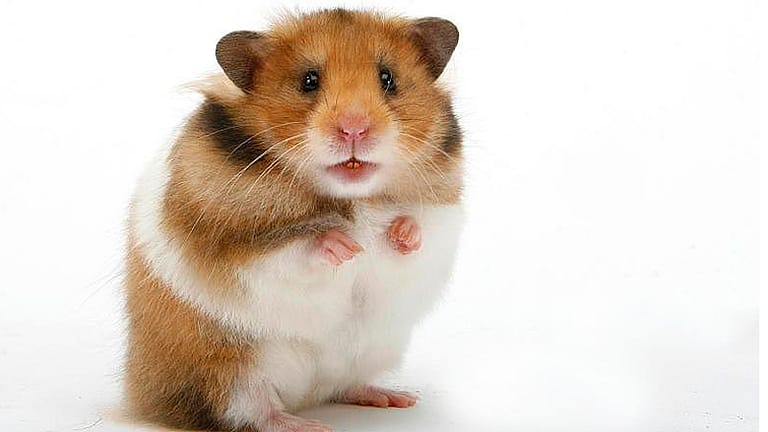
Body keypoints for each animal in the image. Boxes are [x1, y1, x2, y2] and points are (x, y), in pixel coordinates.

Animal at [124, 9, 463, 432]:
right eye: (308, 81)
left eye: (388, 78)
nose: (354, 128)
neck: (350, 196)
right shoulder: (238, 251)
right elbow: (293, 249)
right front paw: (346, 245)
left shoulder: (444, 217)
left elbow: (423, 227)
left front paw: (400, 234)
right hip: (229, 369)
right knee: (251, 411)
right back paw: (306, 424)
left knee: (343, 386)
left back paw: (393, 398)